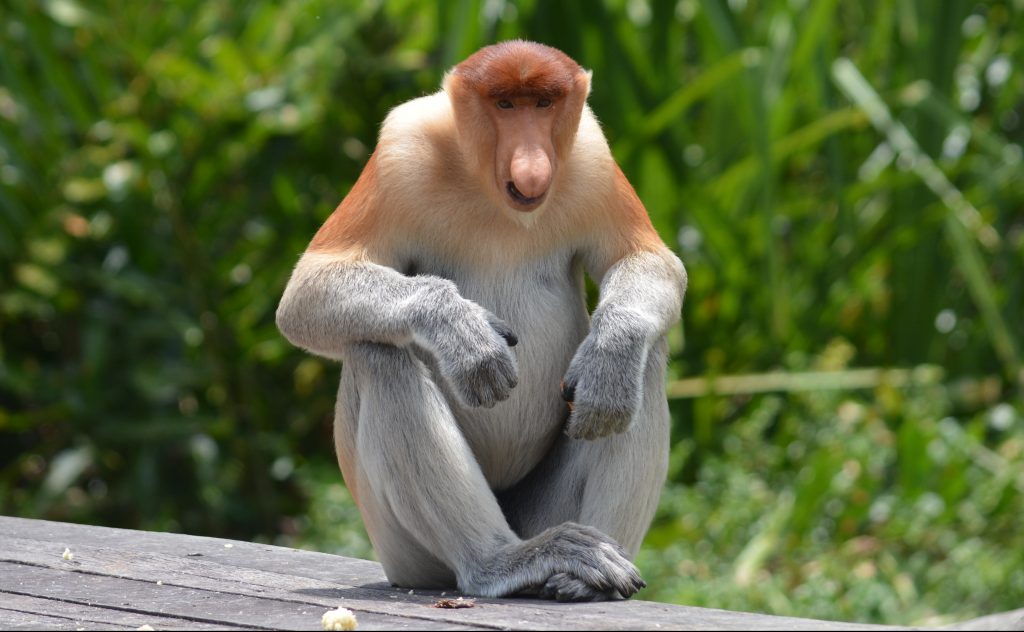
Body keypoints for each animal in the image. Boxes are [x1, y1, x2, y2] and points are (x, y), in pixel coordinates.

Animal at [276, 40, 686, 602]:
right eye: (505, 105)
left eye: (543, 103)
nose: (532, 163)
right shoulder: (400, 154)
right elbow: (306, 291)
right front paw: (463, 336)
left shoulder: (593, 158)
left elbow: (647, 259)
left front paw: (611, 356)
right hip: (405, 552)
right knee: (378, 354)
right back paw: (507, 561)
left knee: (650, 355)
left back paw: (588, 574)